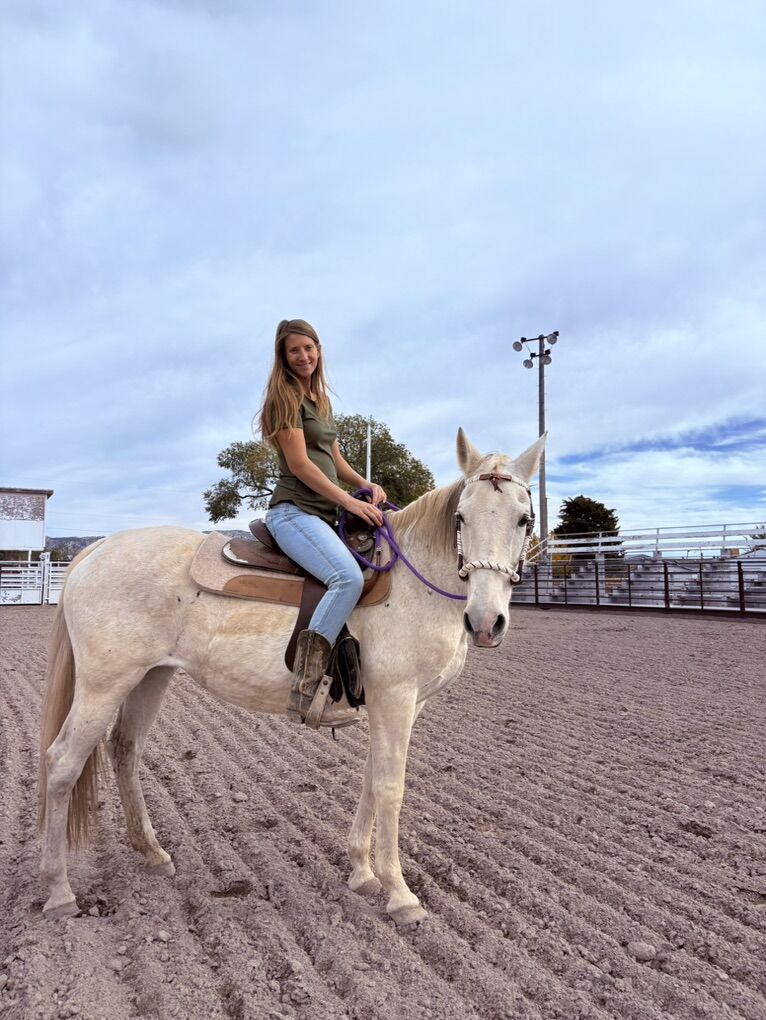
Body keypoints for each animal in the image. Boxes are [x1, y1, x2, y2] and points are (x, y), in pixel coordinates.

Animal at [38, 428, 544, 924]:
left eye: (524, 519)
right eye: (461, 517)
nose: (485, 622)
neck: (411, 583)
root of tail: (98, 548)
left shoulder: (401, 704)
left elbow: (370, 779)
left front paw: (362, 872)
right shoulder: (396, 698)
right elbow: (389, 787)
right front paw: (400, 894)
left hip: (150, 677)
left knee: (125, 750)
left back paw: (152, 852)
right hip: (104, 685)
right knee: (62, 763)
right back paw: (59, 891)